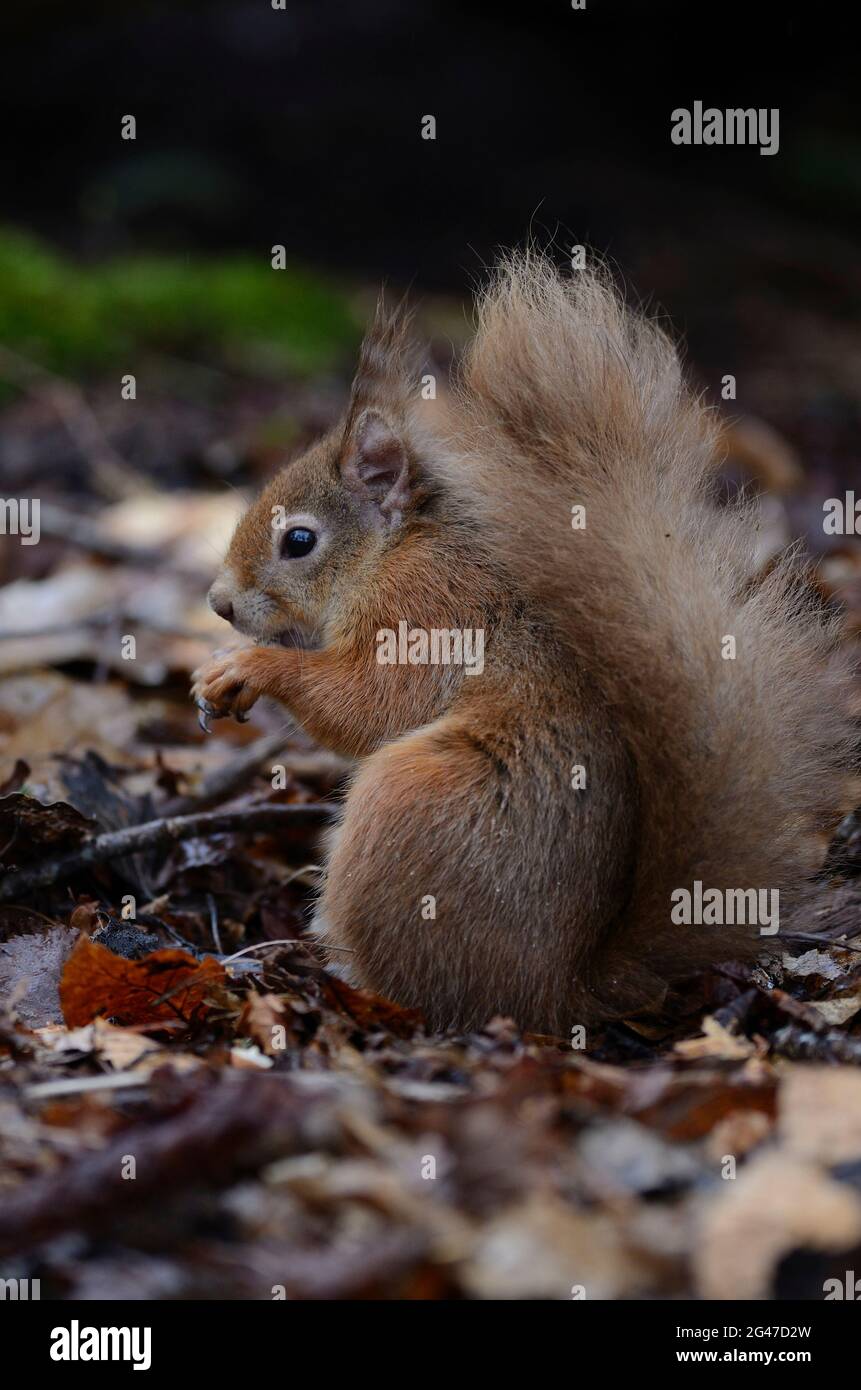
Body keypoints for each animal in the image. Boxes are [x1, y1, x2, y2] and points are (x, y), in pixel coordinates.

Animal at [192, 251, 855, 1035]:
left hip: (412, 801)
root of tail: (557, 992)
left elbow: (372, 703)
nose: (219, 604)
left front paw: (247, 668)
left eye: (298, 541)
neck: (396, 548)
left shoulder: (428, 607)